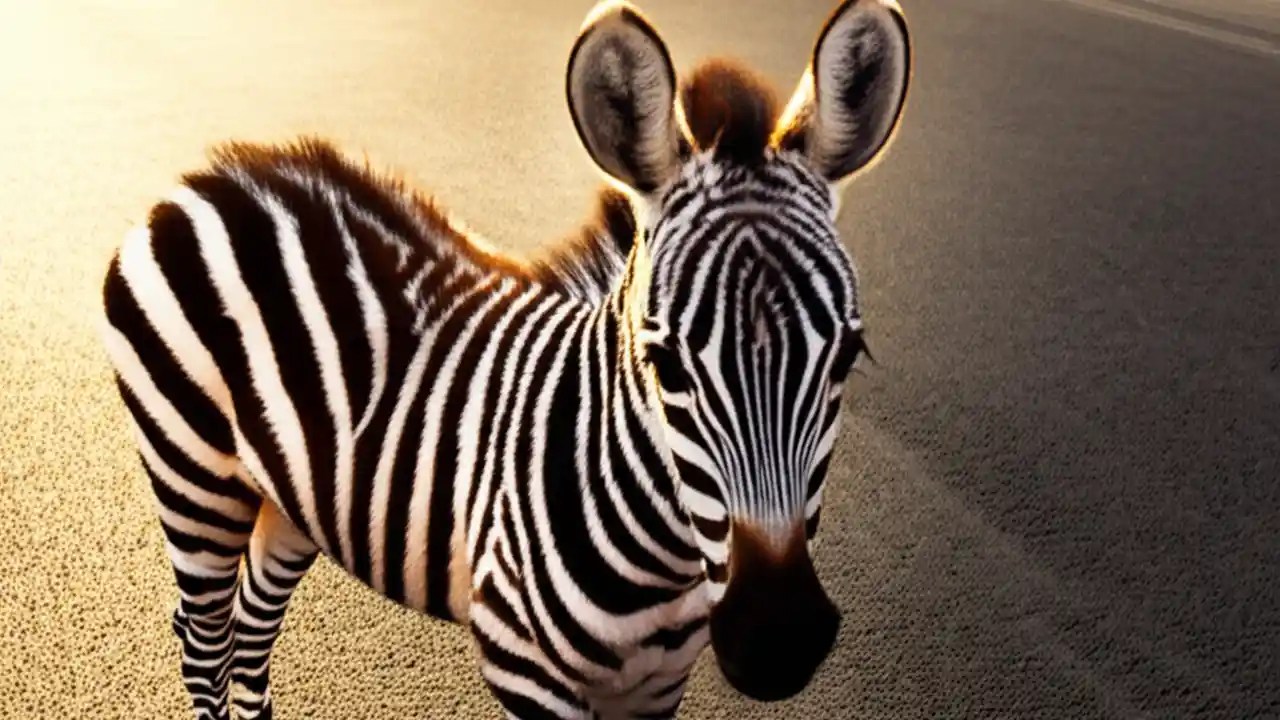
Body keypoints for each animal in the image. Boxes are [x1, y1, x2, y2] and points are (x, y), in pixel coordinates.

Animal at [98, 0, 911, 717]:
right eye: (666, 366)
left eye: (847, 355)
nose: (778, 642)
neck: (663, 557)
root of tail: (211, 178)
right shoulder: (525, 666)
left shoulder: (656, 681)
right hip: (193, 472)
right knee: (203, 637)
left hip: (293, 492)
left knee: (251, 625)